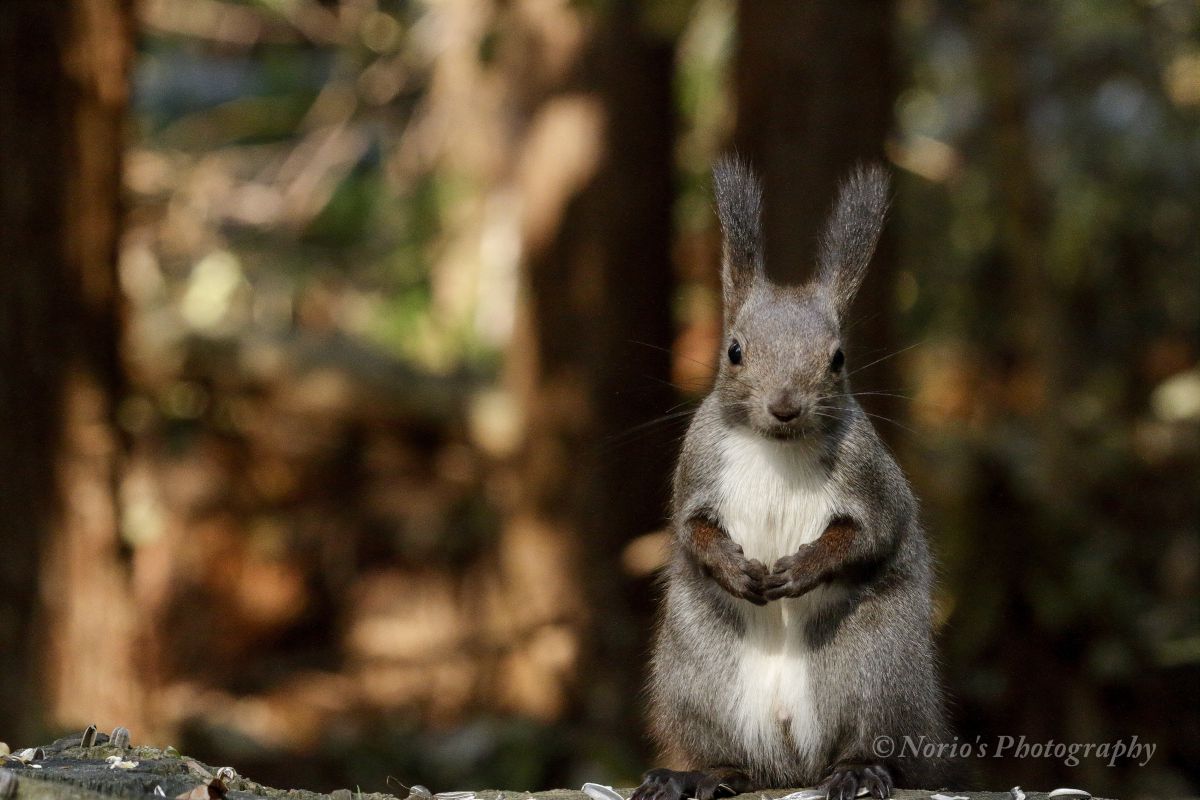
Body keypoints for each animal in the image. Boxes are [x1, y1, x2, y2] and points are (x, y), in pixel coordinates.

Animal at [632, 158, 951, 800]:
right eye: (733, 351)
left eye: (838, 358)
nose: (784, 407)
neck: (777, 449)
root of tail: (792, 761)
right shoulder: (697, 466)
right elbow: (690, 528)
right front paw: (733, 567)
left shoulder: (870, 478)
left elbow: (871, 533)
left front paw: (802, 567)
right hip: (695, 680)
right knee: (734, 759)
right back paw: (703, 773)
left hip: (874, 667)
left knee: (873, 740)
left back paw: (859, 770)